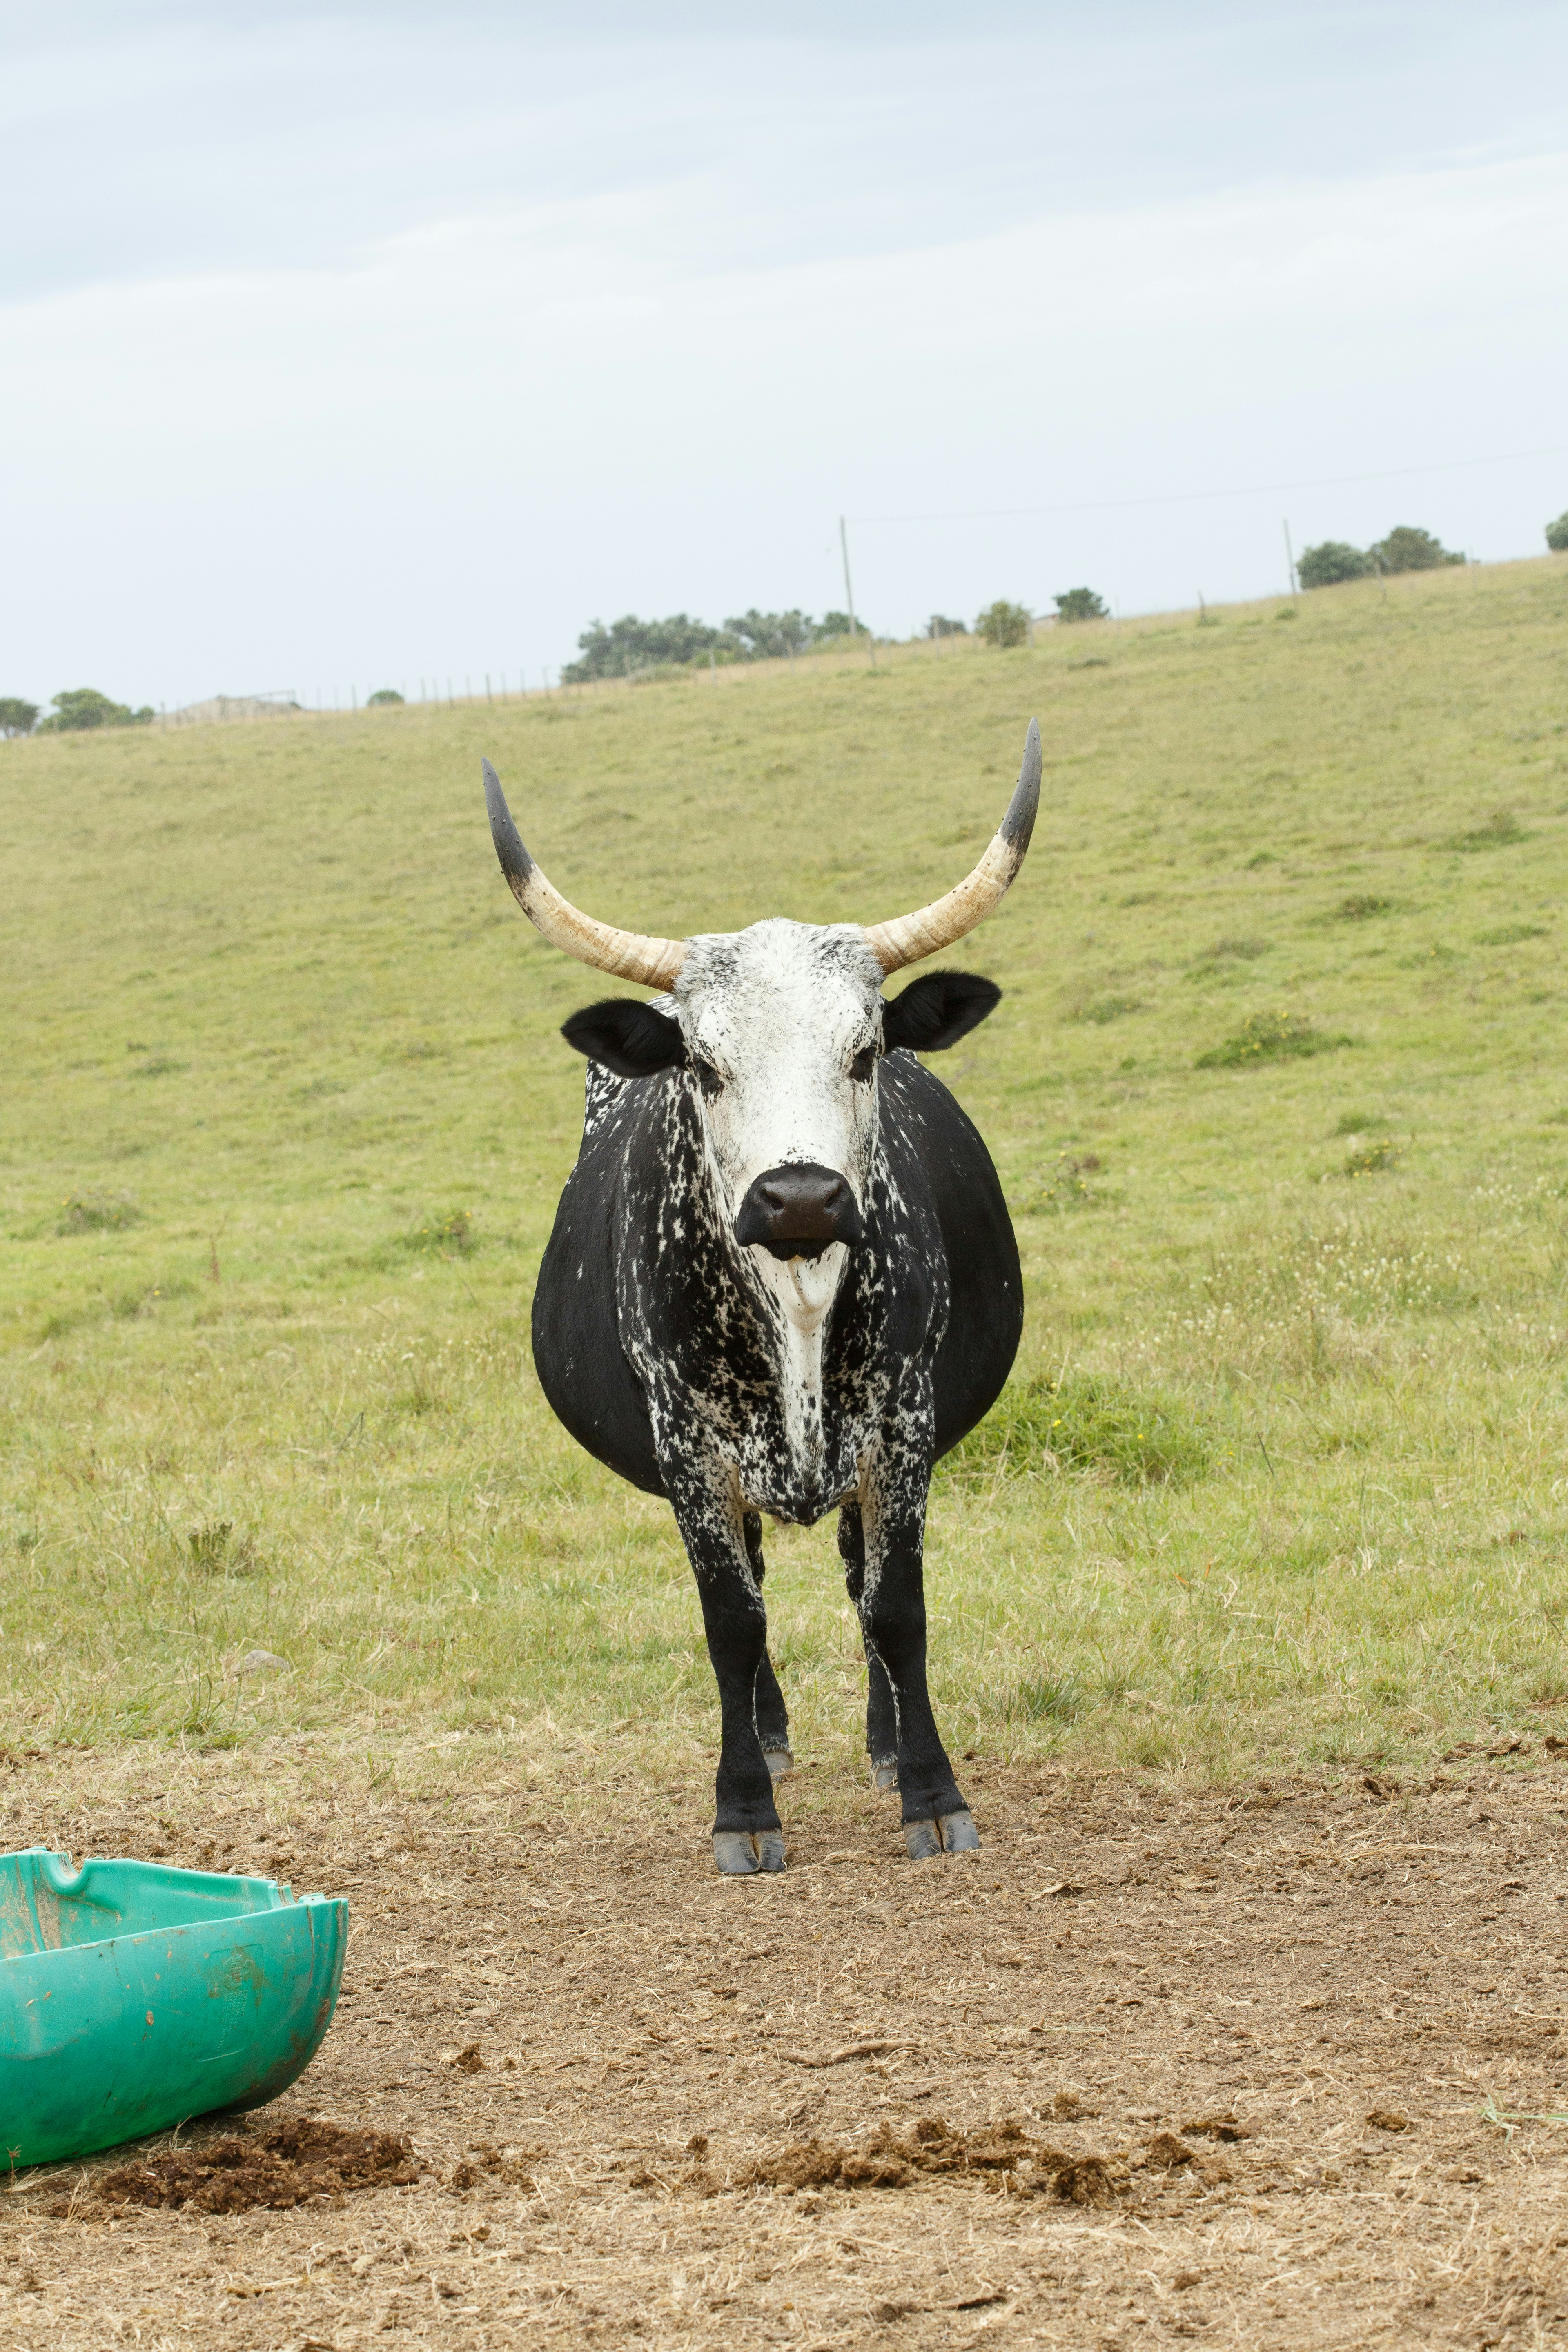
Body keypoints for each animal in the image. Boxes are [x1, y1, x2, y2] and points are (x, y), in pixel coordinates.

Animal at [482, 720, 1040, 1872]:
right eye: (703, 1063)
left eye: (867, 1050)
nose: (799, 1195)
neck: (795, 1290)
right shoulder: (688, 1442)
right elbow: (730, 1621)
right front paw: (741, 1808)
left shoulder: (902, 1424)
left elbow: (895, 1608)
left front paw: (929, 1792)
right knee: (748, 1587)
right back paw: (773, 1738)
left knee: (854, 1577)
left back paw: (880, 1742)